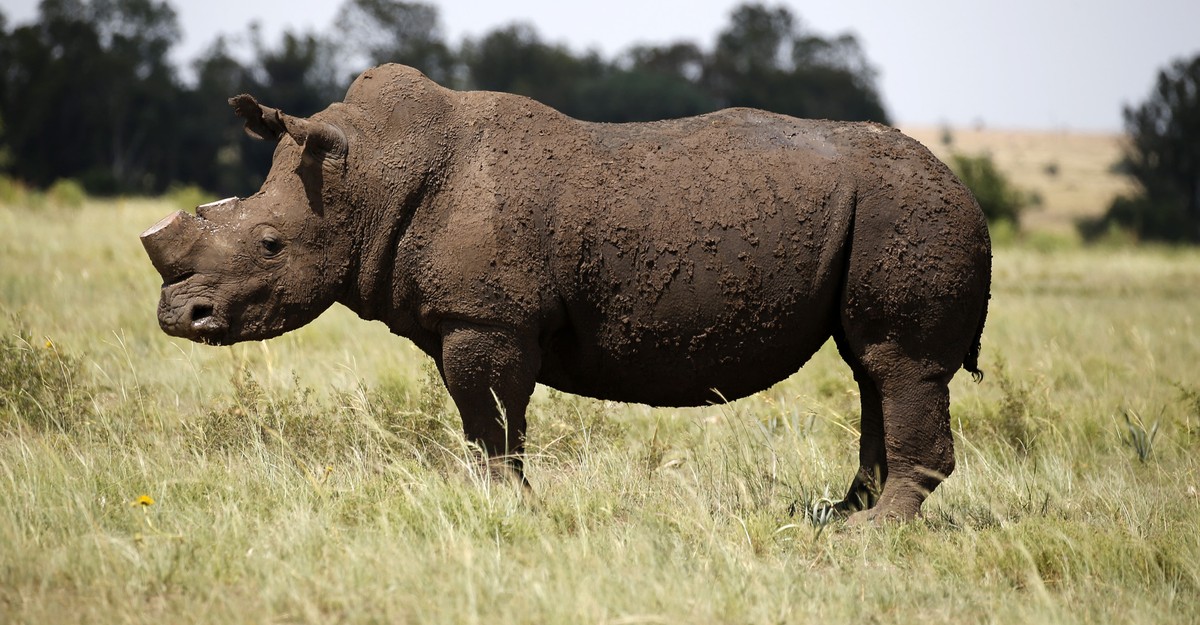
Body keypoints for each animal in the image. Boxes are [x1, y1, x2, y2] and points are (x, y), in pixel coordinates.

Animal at [141, 64, 990, 523]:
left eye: (270, 244)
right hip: (891, 211)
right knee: (872, 367)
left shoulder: (487, 317)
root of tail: (964, 186)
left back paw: (869, 533)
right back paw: (833, 515)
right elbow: (485, 422)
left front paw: (504, 505)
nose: (179, 316)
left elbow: (491, 419)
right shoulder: (474, 317)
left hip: (909, 209)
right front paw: (498, 501)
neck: (373, 175)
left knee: (899, 363)